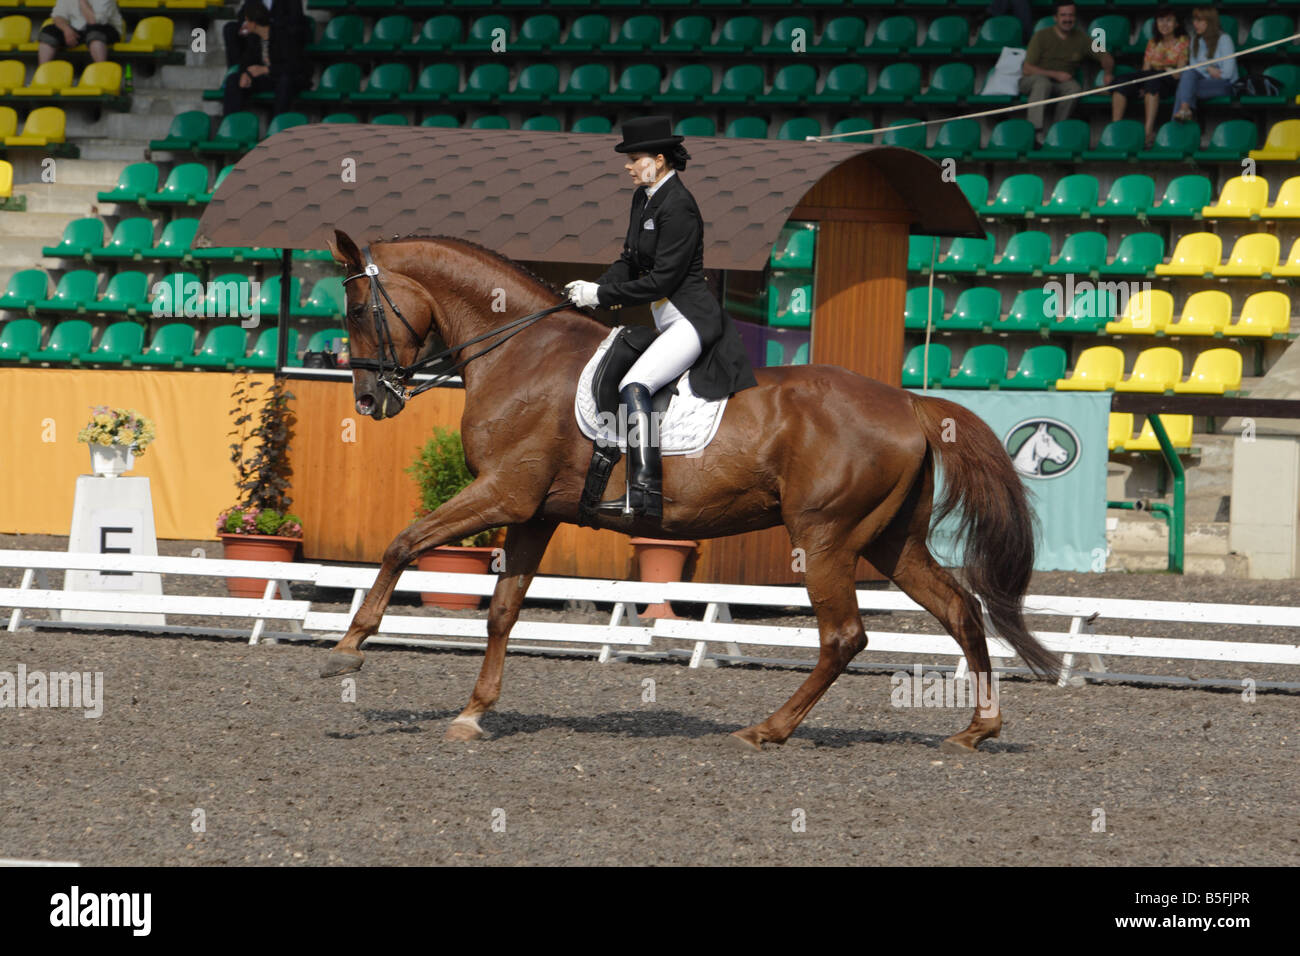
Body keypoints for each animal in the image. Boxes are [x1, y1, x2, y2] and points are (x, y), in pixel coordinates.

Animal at [320, 230, 1060, 753]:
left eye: (356, 307)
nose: (367, 400)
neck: (520, 353)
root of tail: (909, 401)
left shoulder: (502, 493)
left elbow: (402, 544)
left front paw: (347, 652)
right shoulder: (532, 511)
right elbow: (502, 610)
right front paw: (474, 713)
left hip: (824, 537)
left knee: (844, 636)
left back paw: (767, 730)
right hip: (888, 541)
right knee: (960, 610)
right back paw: (976, 730)